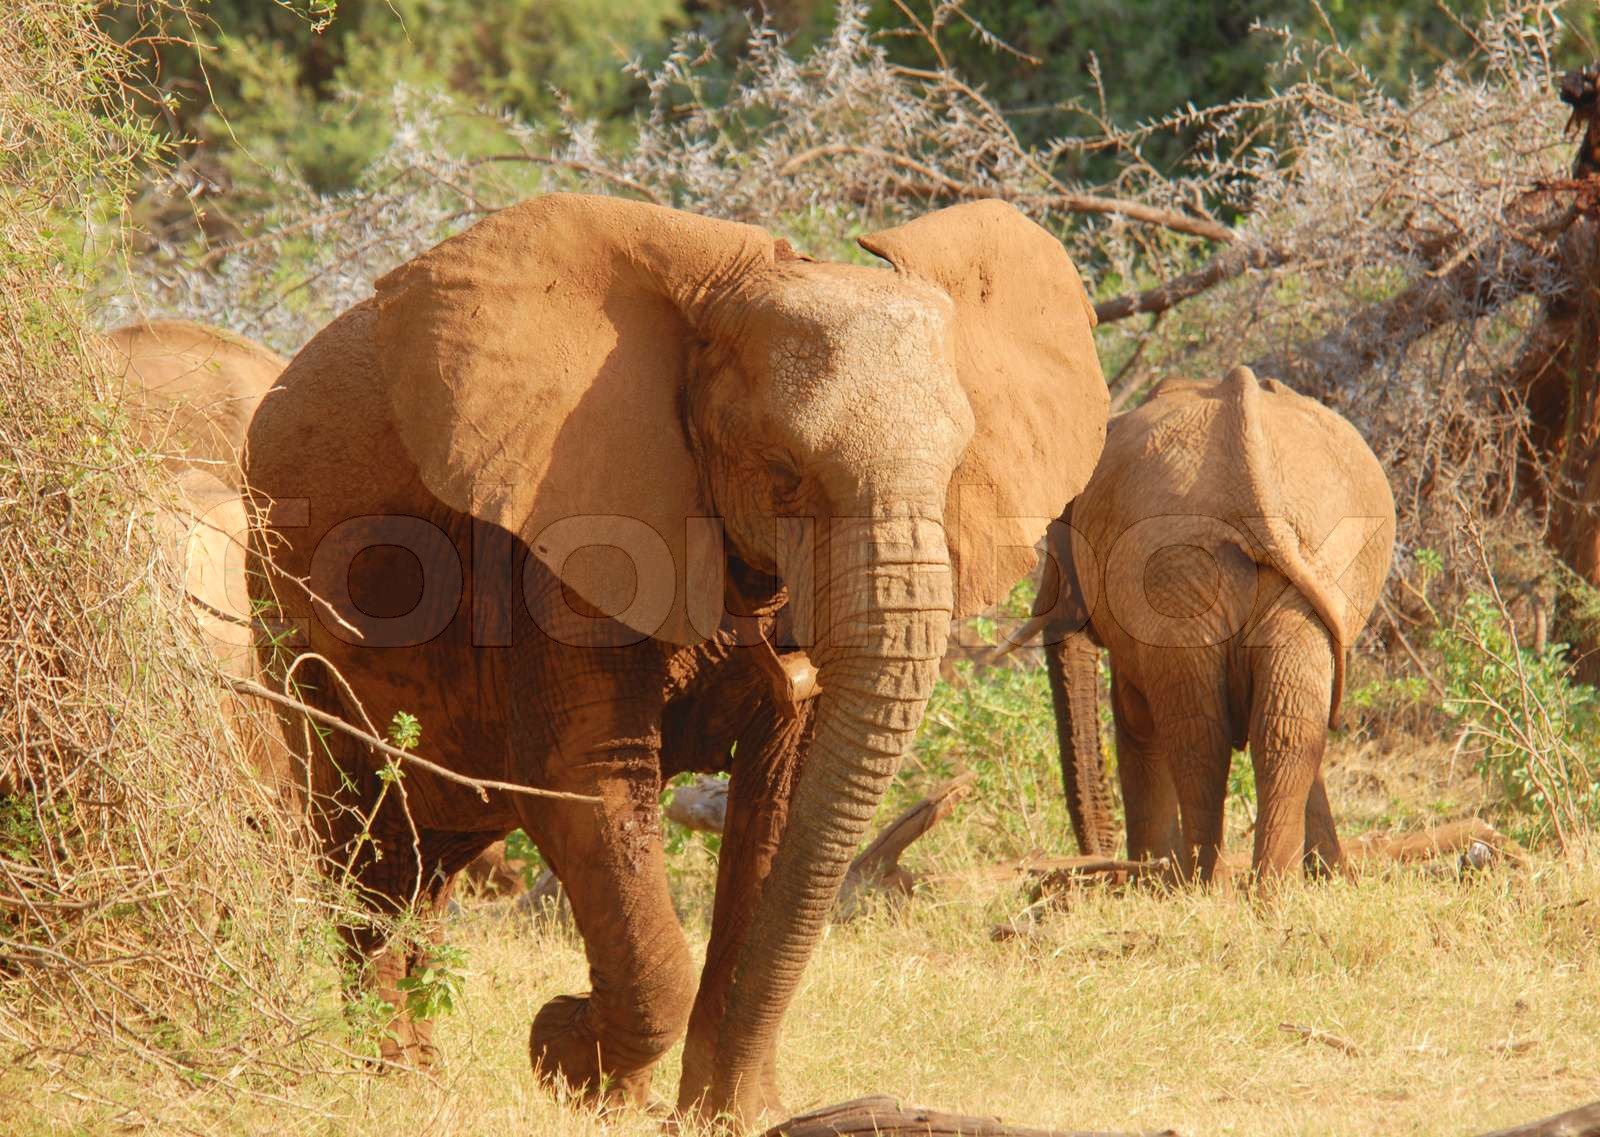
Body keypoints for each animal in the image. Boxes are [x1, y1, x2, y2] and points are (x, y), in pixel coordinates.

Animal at [243, 192, 1107, 1124]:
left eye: (954, 474)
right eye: (783, 471)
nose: (558, 1026)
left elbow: (785, 794)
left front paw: (728, 1110)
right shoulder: (556, 535)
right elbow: (588, 779)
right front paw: (578, 1065)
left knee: (427, 847)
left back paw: (423, 1072)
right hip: (287, 607)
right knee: (363, 831)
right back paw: (398, 1086)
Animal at [1026, 366, 1394, 882]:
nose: (1100, 861)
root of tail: (1249, 481)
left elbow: (1134, 718)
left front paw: (1147, 880)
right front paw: (1330, 876)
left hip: (1177, 575)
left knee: (1199, 737)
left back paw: (1201, 883)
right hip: (1288, 568)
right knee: (1285, 728)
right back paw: (1269, 890)